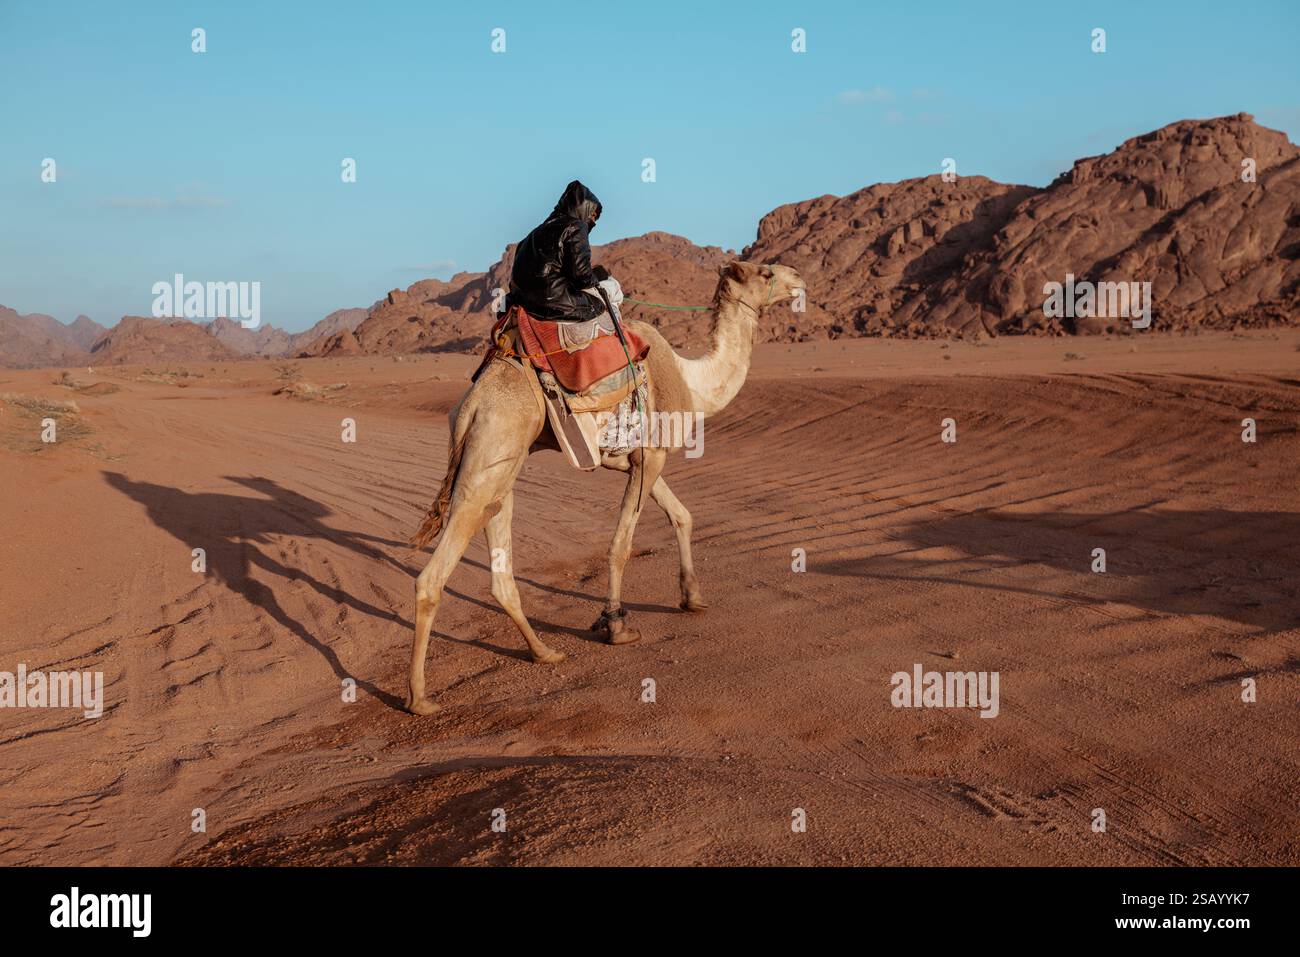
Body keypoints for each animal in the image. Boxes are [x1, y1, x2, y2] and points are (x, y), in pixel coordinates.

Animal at [404, 260, 805, 715]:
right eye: (765, 272)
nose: (798, 279)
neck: (691, 382)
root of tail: (470, 405)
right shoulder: (652, 455)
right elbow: (620, 546)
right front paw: (616, 625)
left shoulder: (641, 459)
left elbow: (682, 516)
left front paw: (692, 597)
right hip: (494, 445)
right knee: (431, 578)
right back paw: (420, 698)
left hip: (499, 462)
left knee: (499, 564)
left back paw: (544, 652)